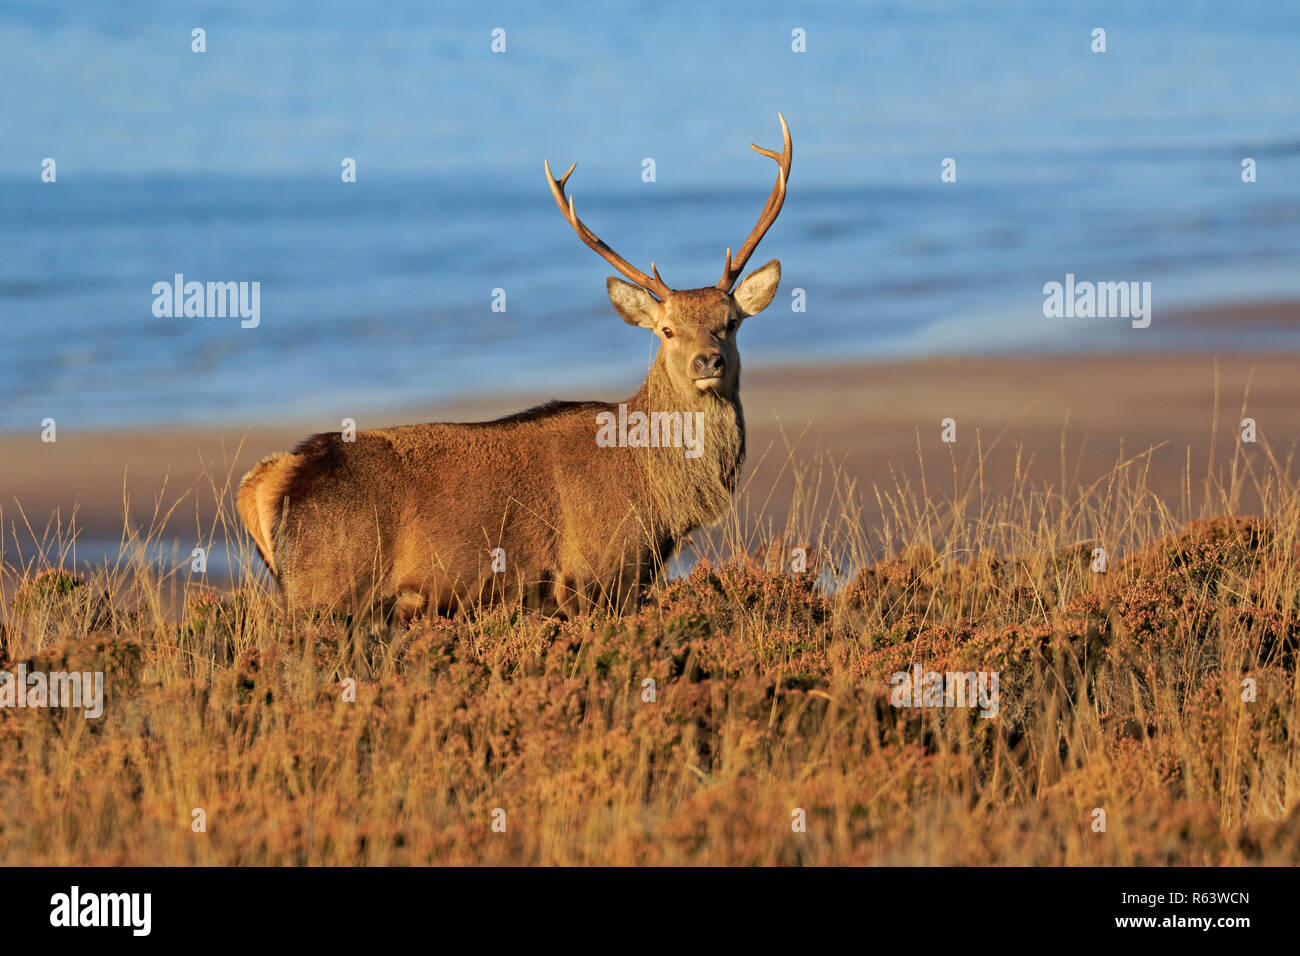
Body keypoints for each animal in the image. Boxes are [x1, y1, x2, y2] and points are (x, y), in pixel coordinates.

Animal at [237, 115, 792, 621]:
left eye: (731, 322)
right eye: (667, 330)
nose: (708, 360)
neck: (657, 498)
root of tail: (269, 480)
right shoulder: (593, 573)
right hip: (325, 587)